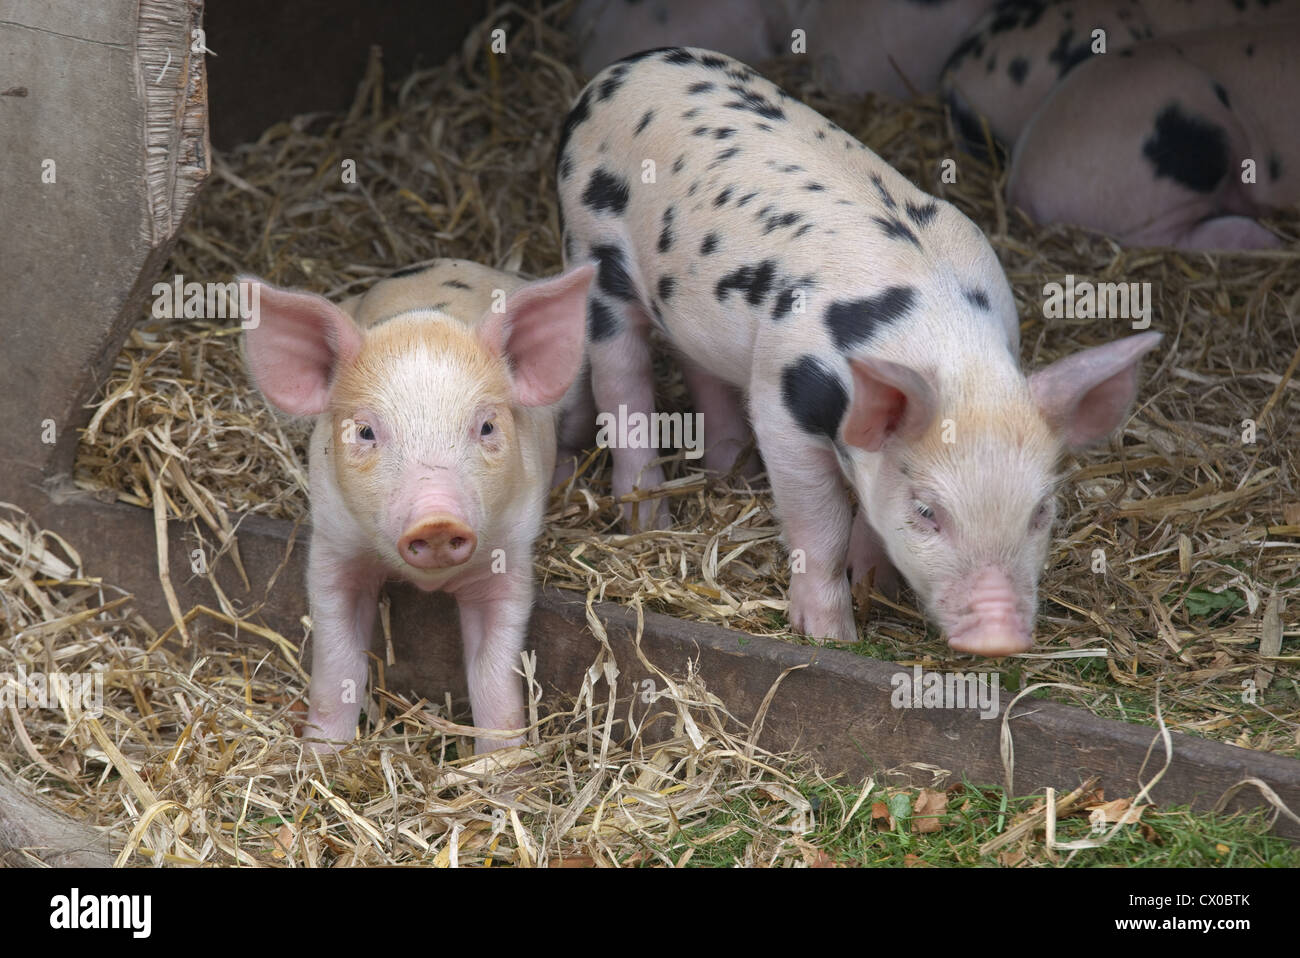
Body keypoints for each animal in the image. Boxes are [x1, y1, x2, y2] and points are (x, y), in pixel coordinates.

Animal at [242, 259, 594, 752]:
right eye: (365, 431)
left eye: (487, 426)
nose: (436, 520)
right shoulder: (334, 546)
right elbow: (338, 665)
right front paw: (320, 755)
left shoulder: (509, 553)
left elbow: (492, 676)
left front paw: (503, 765)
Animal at [557, 47, 1163, 653]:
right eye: (927, 510)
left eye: (1041, 510)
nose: (999, 636)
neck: (949, 350)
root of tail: (626, 67)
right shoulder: (783, 404)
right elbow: (821, 525)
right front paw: (832, 637)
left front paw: (876, 586)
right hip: (593, 252)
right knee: (621, 377)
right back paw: (648, 519)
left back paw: (735, 476)